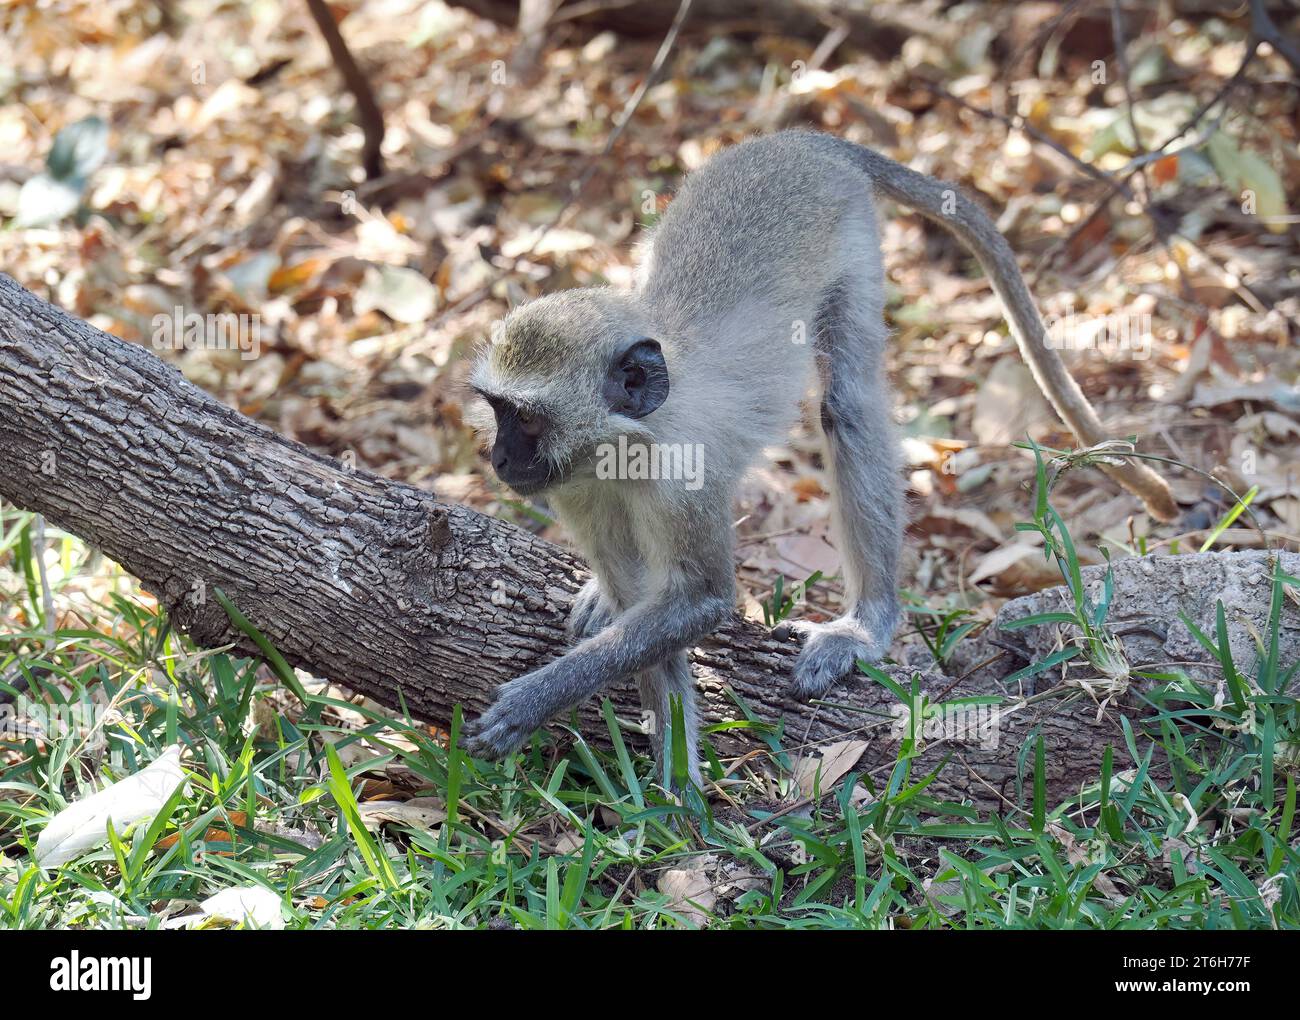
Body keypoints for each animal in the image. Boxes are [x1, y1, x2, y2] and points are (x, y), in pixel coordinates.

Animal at [463, 130, 1177, 784]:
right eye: (499, 411)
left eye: (526, 419)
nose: (500, 459)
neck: (626, 441)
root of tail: (799, 140)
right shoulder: (575, 488)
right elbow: (650, 611)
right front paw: (671, 795)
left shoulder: (682, 477)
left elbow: (699, 601)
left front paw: (538, 710)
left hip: (854, 239)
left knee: (849, 408)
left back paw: (867, 626)